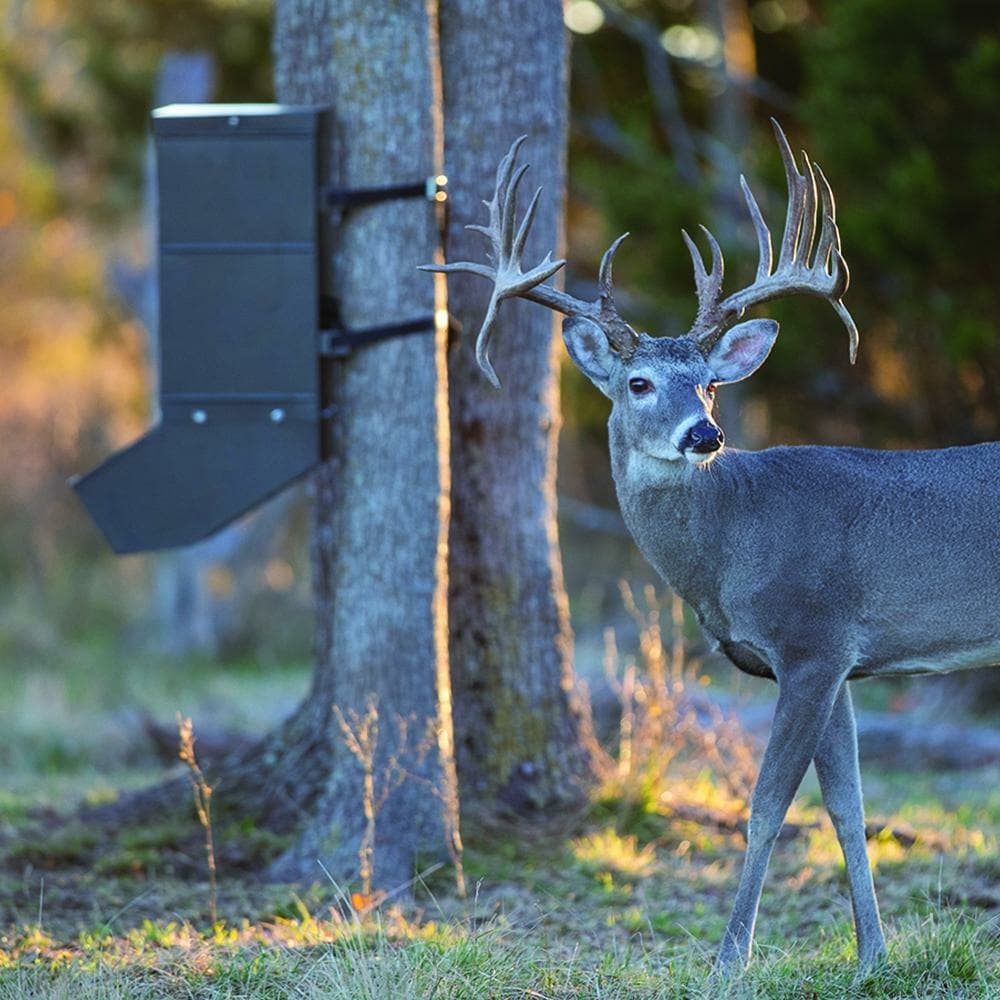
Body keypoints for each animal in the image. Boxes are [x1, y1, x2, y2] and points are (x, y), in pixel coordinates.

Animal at [422, 122, 1000, 970]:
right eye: (638, 383)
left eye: (709, 384)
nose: (705, 434)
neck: (733, 538)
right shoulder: (839, 661)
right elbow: (847, 808)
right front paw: (873, 955)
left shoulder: (813, 640)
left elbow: (767, 807)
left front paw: (732, 955)